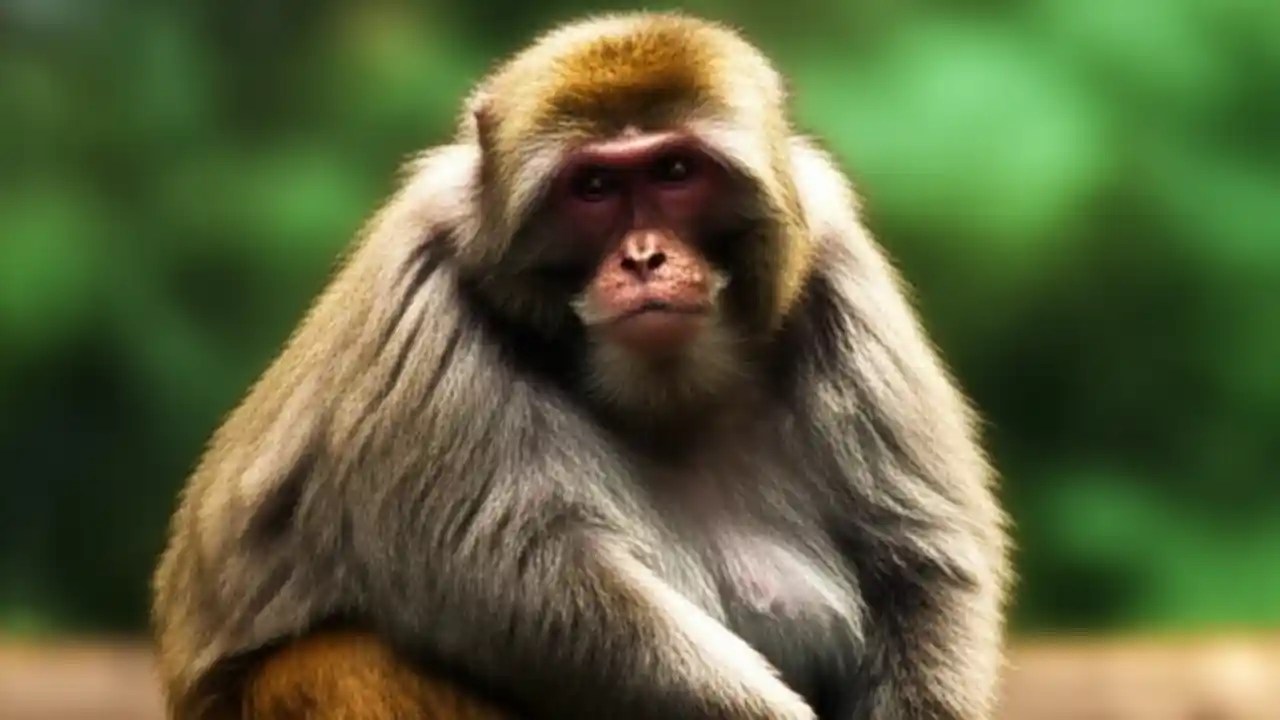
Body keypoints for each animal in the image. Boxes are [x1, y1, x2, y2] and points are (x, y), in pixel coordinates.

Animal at [152, 11, 1009, 720]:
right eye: (593, 186)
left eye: (674, 172)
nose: (643, 258)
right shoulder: (423, 296)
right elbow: (518, 585)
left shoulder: (837, 267)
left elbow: (923, 565)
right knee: (340, 661)